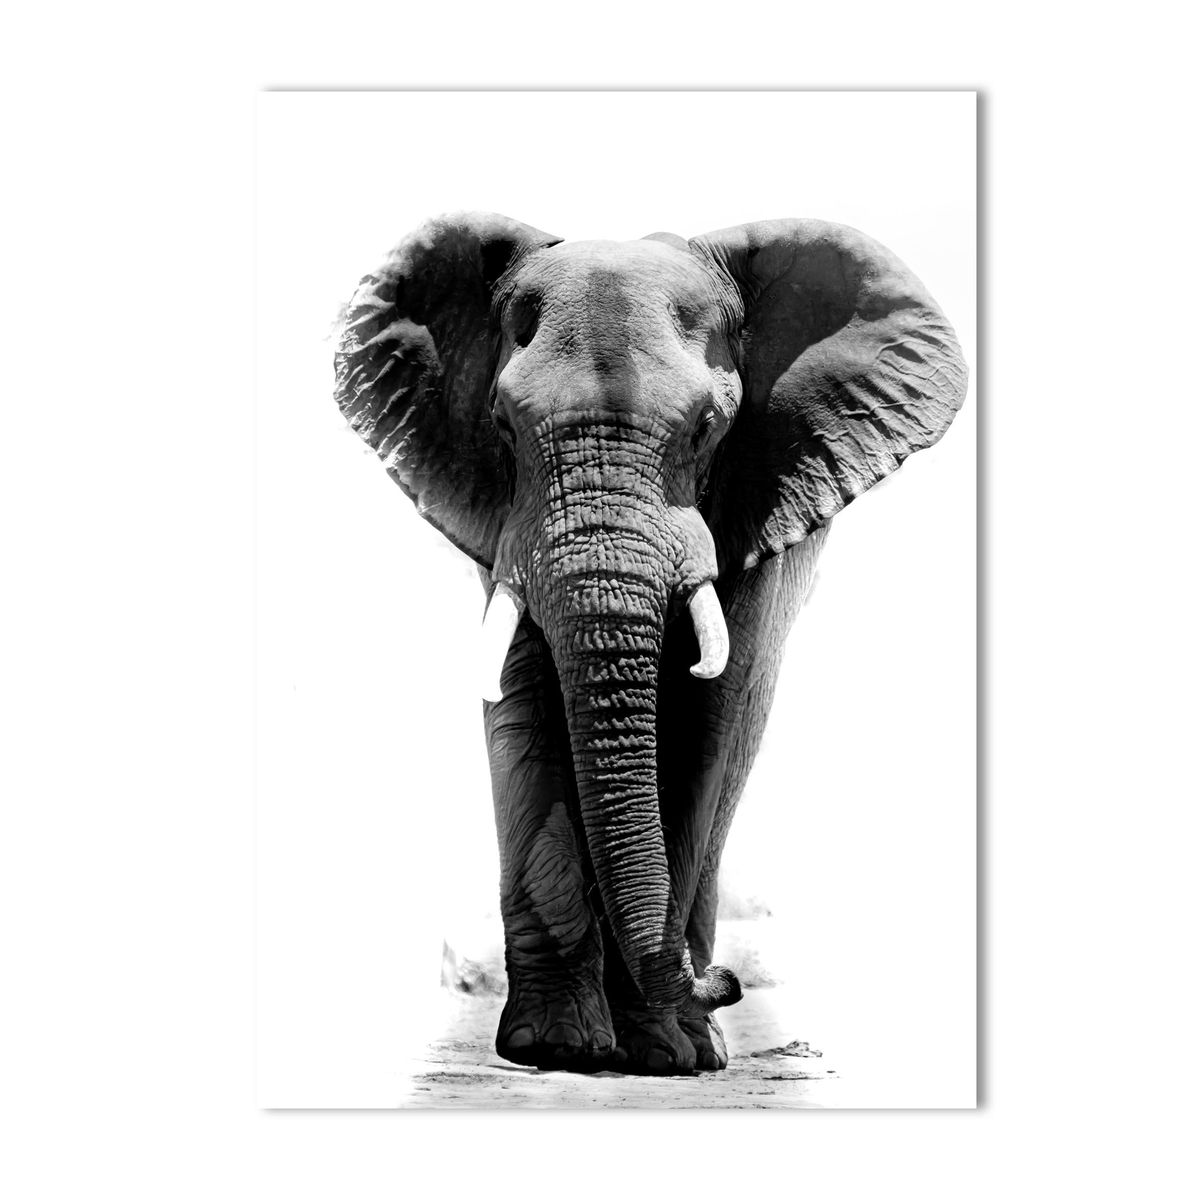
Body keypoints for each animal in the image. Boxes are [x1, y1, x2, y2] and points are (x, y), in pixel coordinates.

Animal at [334, 212, 967, 1075]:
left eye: (707, 430)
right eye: (502, 427)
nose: (728, 982)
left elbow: (706, 719)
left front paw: (667, 1052)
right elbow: (524, 700)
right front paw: (557, 1047)